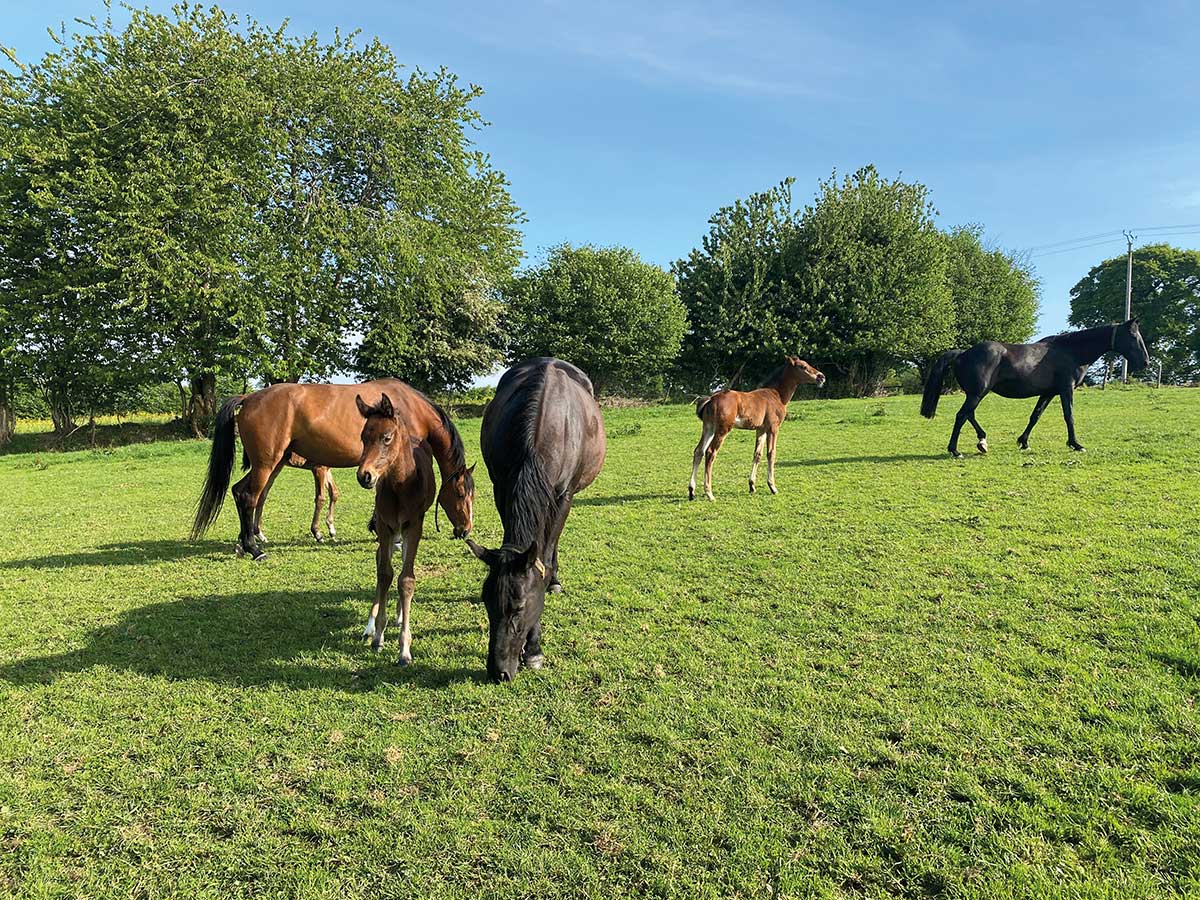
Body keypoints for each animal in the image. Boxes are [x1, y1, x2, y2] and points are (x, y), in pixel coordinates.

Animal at [190, 380, 475, 561]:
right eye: (461, 494)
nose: (465, 530)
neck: (408, 409)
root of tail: (249, 398)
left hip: (268, 465)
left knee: (239, 492)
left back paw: (243, 543)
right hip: (266, 465)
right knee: (250, 497)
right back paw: (254, 549)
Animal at [353, 393, 436, 666]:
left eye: (386, 437)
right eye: (363, 436)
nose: (364, 476)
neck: (401, 485)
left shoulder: (414, 526)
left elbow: (406, 579)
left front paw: (404, 649)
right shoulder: (385, 526)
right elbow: (384, 573)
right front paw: (378, 634)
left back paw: (401, 613)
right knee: (383, 561)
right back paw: (370, 626)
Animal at [465, 358, 606, 682]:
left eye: (520, 606)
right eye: (487, 601)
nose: (499, 671)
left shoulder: (564, 495)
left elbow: (545, 557)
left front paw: (534, 650)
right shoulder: (502, 487)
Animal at [688, 356, 825, 501]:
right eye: (803, 366)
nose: (821, 377)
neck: (777, 395)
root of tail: (711, 399)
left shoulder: (761, 429)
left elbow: (757, 454)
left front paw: (752, 486)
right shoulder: (773, 428)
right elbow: (771, 453)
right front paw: (772, 487)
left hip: (708, 428)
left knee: (699, 451)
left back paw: (692, 491)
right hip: (722, 430)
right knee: (710, 452)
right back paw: (709, 493)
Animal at [921, 319, 1150, 457]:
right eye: (1133, 337)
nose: (1146, 362)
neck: (1071, 351)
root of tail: (962, 353)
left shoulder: (1048, 393)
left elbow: (1035, 416)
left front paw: (1023, 442)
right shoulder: (1066, 389)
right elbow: (1069, 416)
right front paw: (1076, 444)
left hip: (976, 394)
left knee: (969, 415)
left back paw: (982, 441)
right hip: (977, 393)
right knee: (962, 415)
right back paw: (955, 450)